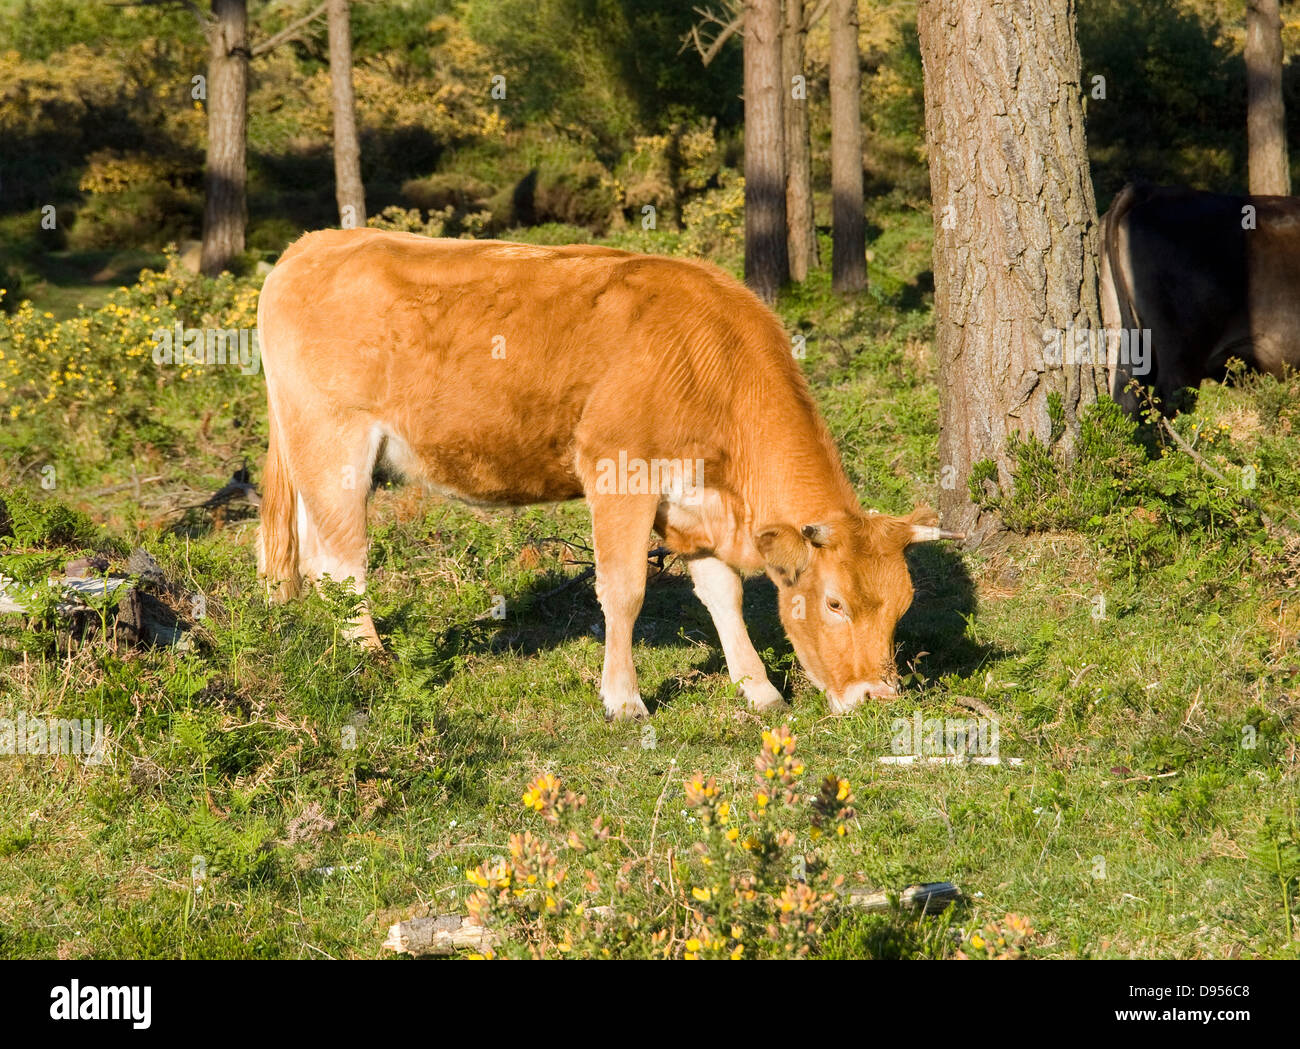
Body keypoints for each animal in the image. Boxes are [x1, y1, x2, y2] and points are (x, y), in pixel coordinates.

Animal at [256, 229, 960, 720]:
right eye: (835, 603)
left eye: (903, 604)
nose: (878, 698)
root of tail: (313, 244)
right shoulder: (619, 473)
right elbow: (623, 591)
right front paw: (624, 700)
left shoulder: (693, 504)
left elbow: (724, 594)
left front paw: (758, 689)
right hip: (334, 440)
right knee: (343, 561)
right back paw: (370, 662)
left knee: (314, 556)